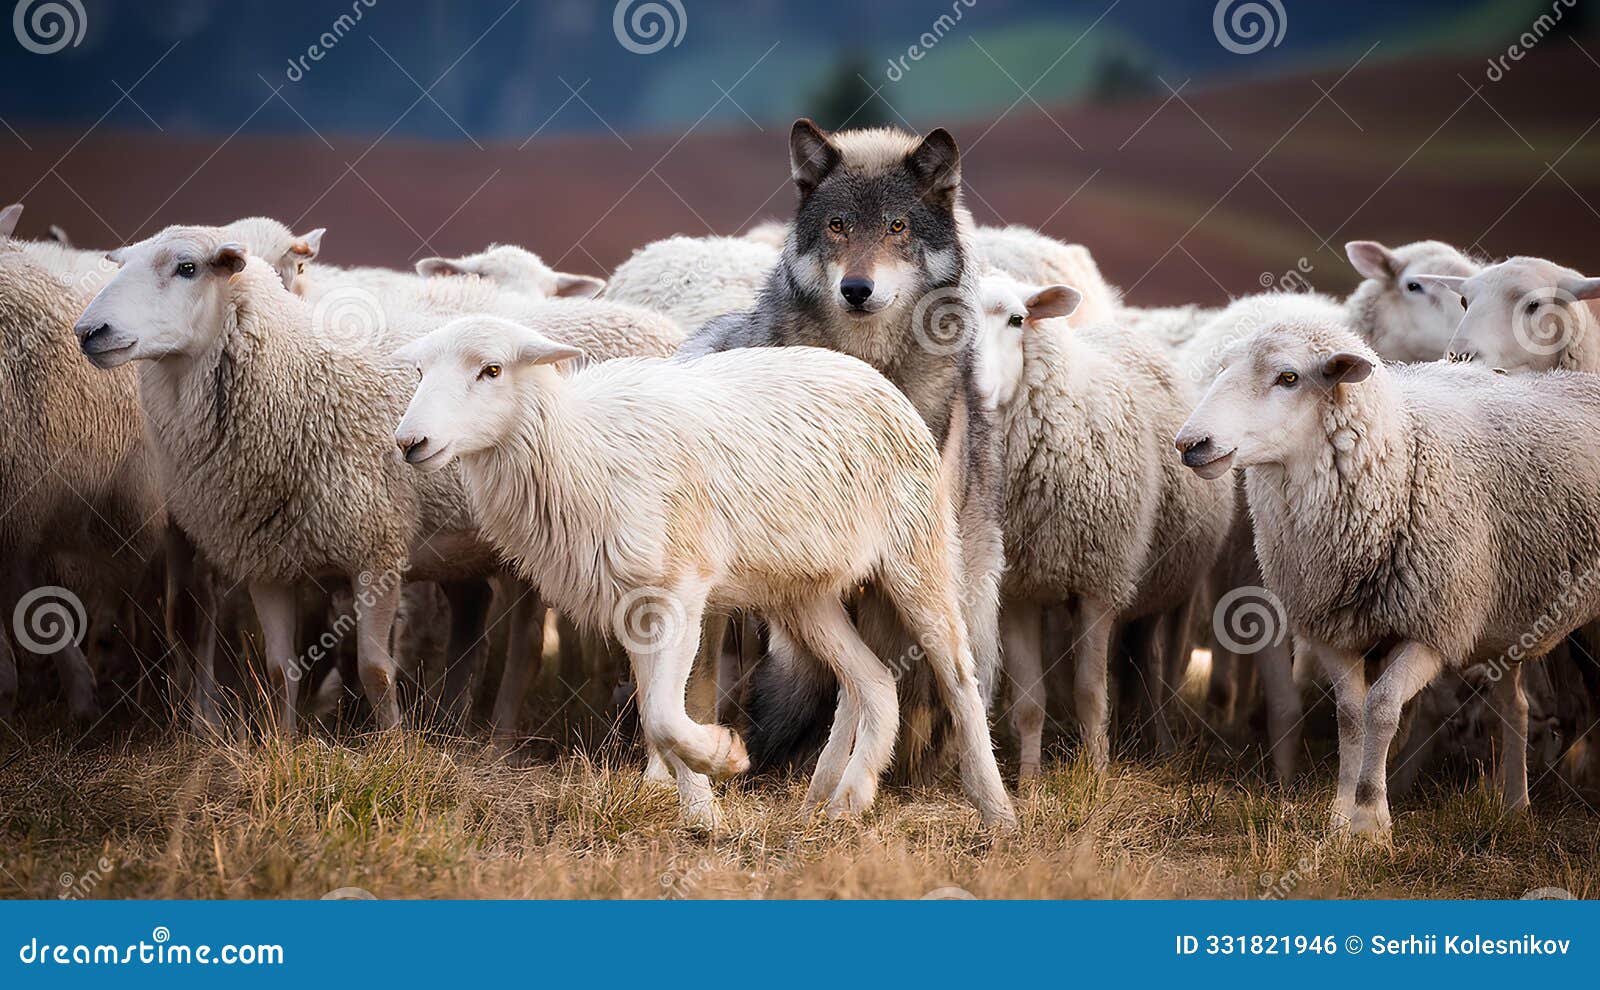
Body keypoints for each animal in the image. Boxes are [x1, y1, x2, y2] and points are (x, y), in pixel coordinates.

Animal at [391, 314, 1017, 830]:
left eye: (492, 369)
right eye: (420, 371)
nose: (409, 442)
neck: (577, 448)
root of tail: (872, 375)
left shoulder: (681, 592)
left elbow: (667, 712)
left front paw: (724, 757)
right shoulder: (631, 605)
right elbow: (655, 714)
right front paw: (702, 812)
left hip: (916, 557)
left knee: (958, 675)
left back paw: (995, 809)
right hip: (802, 593)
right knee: (874, 681)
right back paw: (840, 800)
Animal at [976, 271, 1230, 774]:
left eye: (1017, 319)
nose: (976, 385)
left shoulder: (1100, 582)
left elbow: (1090, 692)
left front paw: (1095, 774)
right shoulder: (1017, 592)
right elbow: (1030, 701)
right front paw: (1030, 780)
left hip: (1174, 587)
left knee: (1159, 665)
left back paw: (1163, 743)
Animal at [1175, 319, 1600, 838]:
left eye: (1289, 377)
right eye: (1223, 367)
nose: (1191, 445)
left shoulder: (1433, 626)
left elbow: (1380, 707)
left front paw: (1372, 820)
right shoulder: (1332, 629)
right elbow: (1350, 715)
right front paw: (1341, 816)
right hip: (1506, 615)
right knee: (1515, 706)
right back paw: (1516, 807)